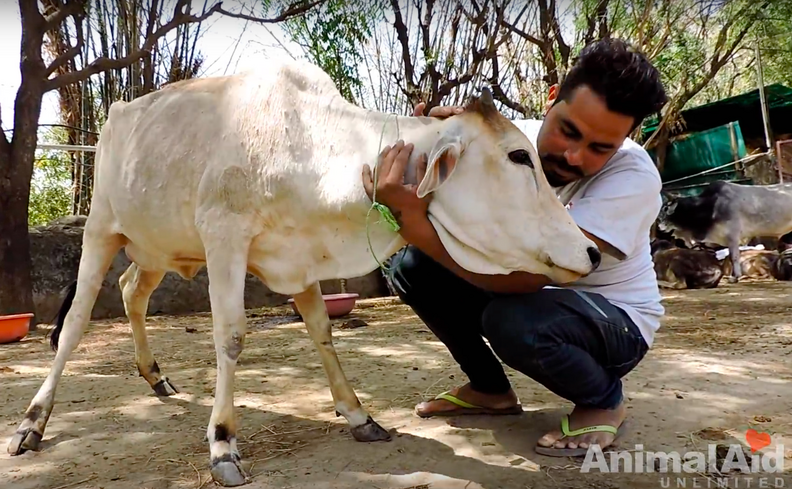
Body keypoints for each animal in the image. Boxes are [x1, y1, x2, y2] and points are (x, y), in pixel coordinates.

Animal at [7, 60, 600, 486]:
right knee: (77, 321)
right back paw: (34, 420)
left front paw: (359, 416)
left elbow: (322, 332)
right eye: (519, 157)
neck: (313, 150)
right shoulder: (224, 238)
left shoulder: (302, 257)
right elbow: (231, 338)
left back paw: (155, 377)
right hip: (102, 229)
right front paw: (222, 442)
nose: (591, 252)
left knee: (132, 292)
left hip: (155, 247)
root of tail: (121, 110)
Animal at [657, 180, 792, 282]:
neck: (710, 206)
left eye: (665, 209)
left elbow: (734, 257)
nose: (658, 225)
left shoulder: (732, 236)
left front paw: (735, 277)